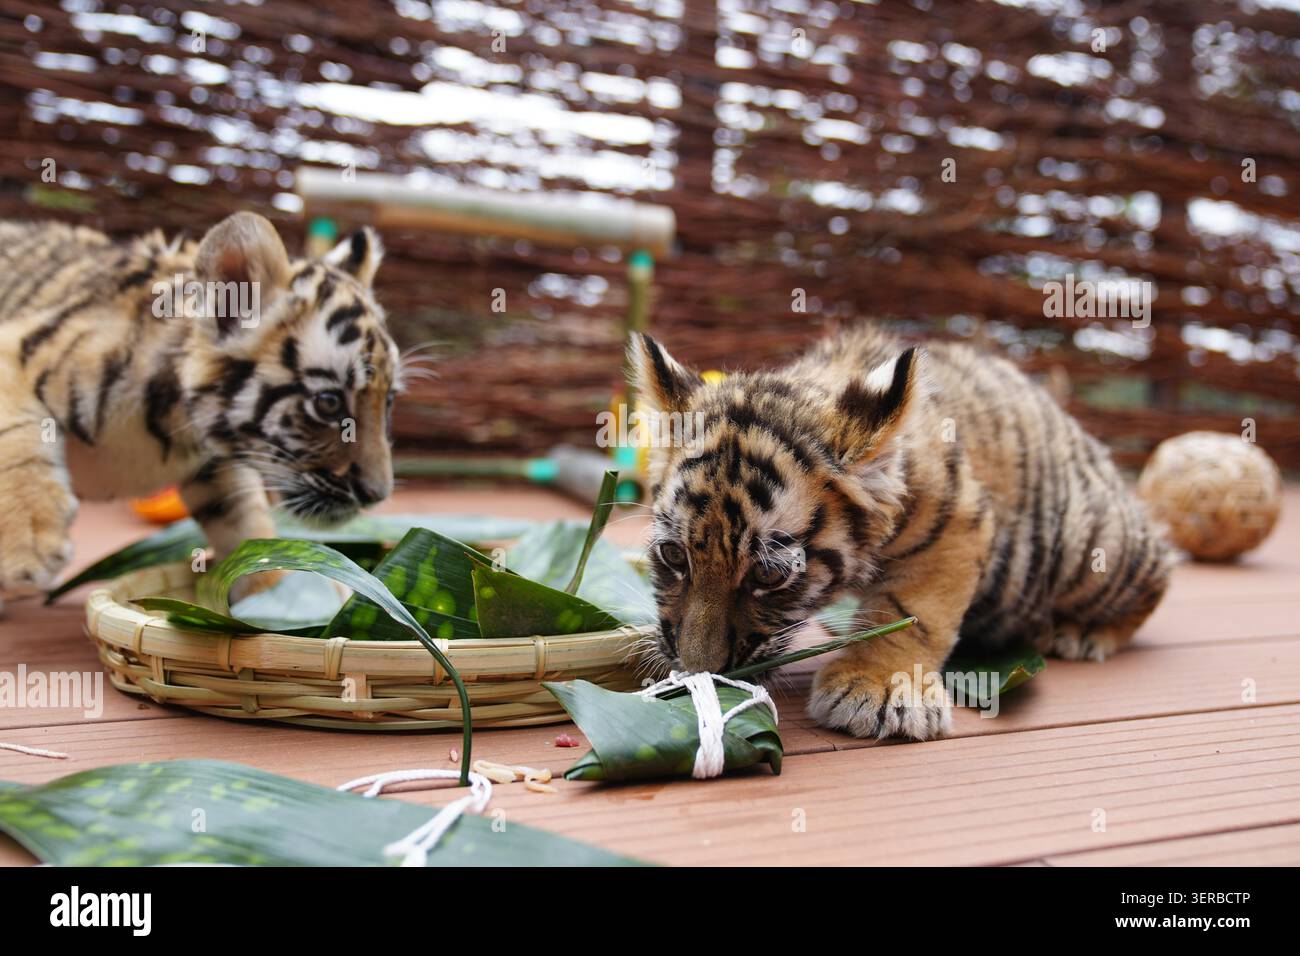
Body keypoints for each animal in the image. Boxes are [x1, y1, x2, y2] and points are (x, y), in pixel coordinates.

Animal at [0, 212, 398, 609]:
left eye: (389, 400)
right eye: (328, 402)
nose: (377, 495)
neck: (172, 423)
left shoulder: (216, 465)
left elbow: (246, 520)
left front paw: (276, 590)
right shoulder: (15, 349)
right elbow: (16, 440)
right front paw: (29, 544)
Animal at [630, 325, 1172, 740]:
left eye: (767, 575)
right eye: (674, 556)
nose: (700, 671)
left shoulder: (957, 520)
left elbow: (908, 612)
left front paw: (880, 689)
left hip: (1093, 547)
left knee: (1158, 571)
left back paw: (1080, 633)